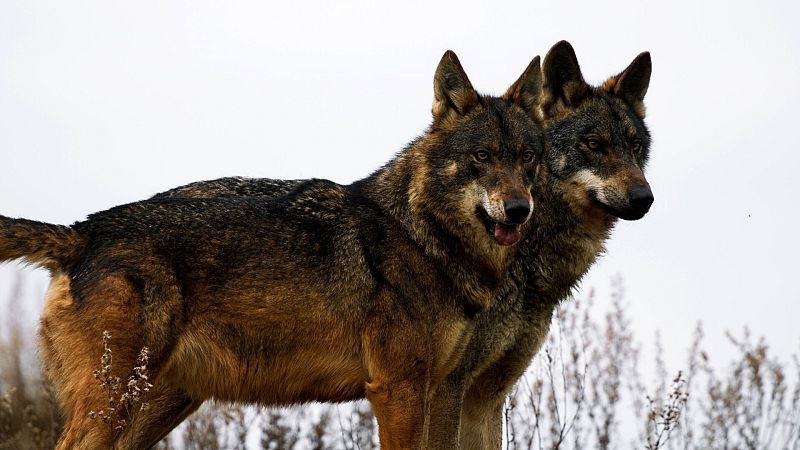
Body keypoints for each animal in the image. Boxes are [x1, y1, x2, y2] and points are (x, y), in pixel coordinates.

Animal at [0, 51, 546, 449]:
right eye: (482, 156)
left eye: (527, 158)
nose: (519, 210)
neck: (421, 234)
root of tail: (82, 230)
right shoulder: (397, 389)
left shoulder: (438, 390)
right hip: (116, 405)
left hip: (154, 405)